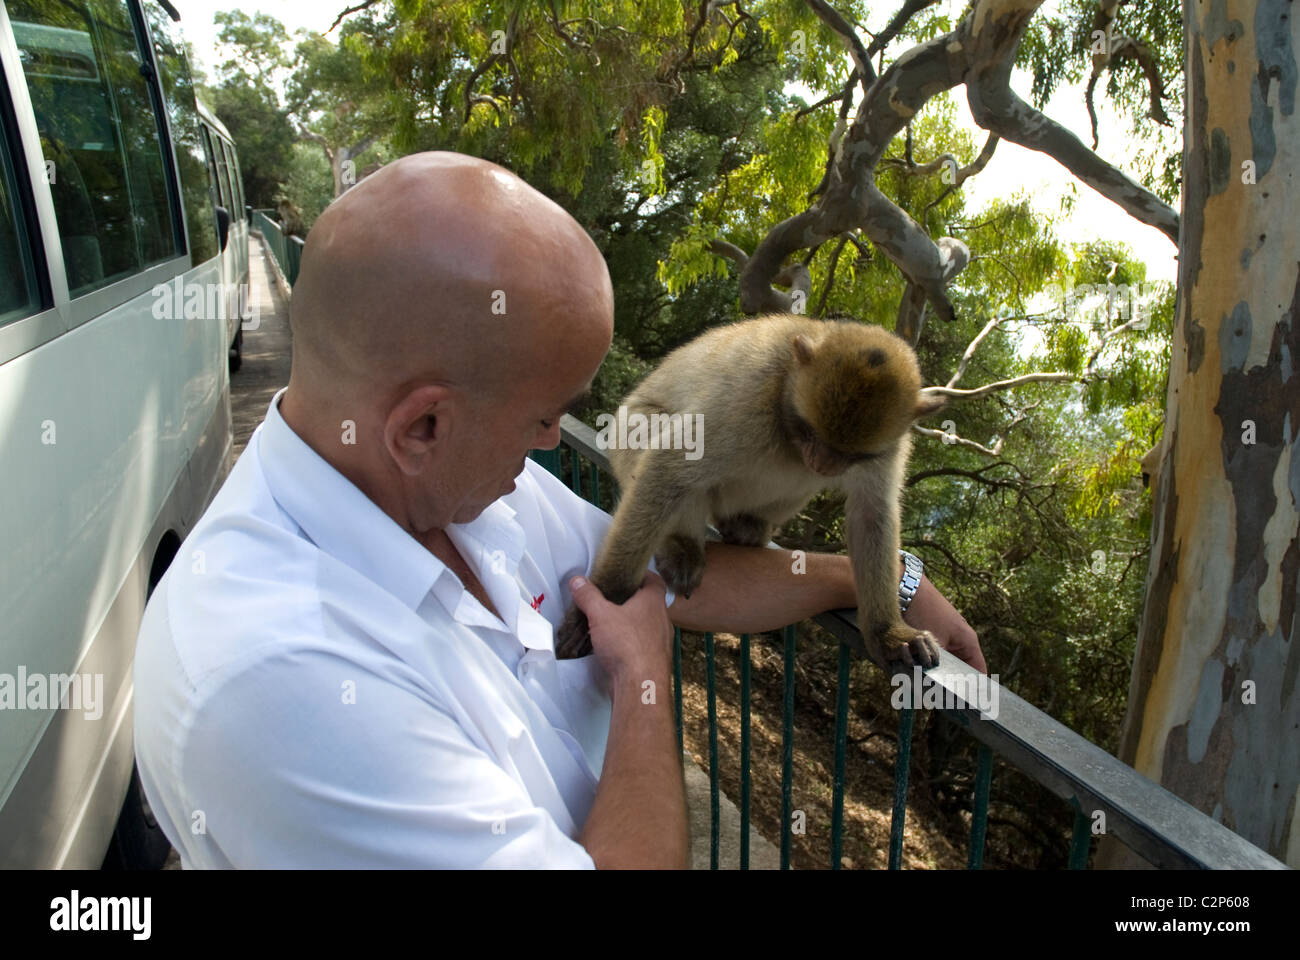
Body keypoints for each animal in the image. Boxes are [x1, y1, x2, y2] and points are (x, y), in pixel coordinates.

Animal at [553, 313, 947, 668]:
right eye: (810, 433)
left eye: (852, 455)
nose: (822, 464)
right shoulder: (749, 397)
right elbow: (671, 465)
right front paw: (604, 601)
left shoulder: (888, 447)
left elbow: (872, 514)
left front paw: (889, 632)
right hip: (625, 430)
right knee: (659, 442)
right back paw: (680, 544)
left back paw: (746, 526)